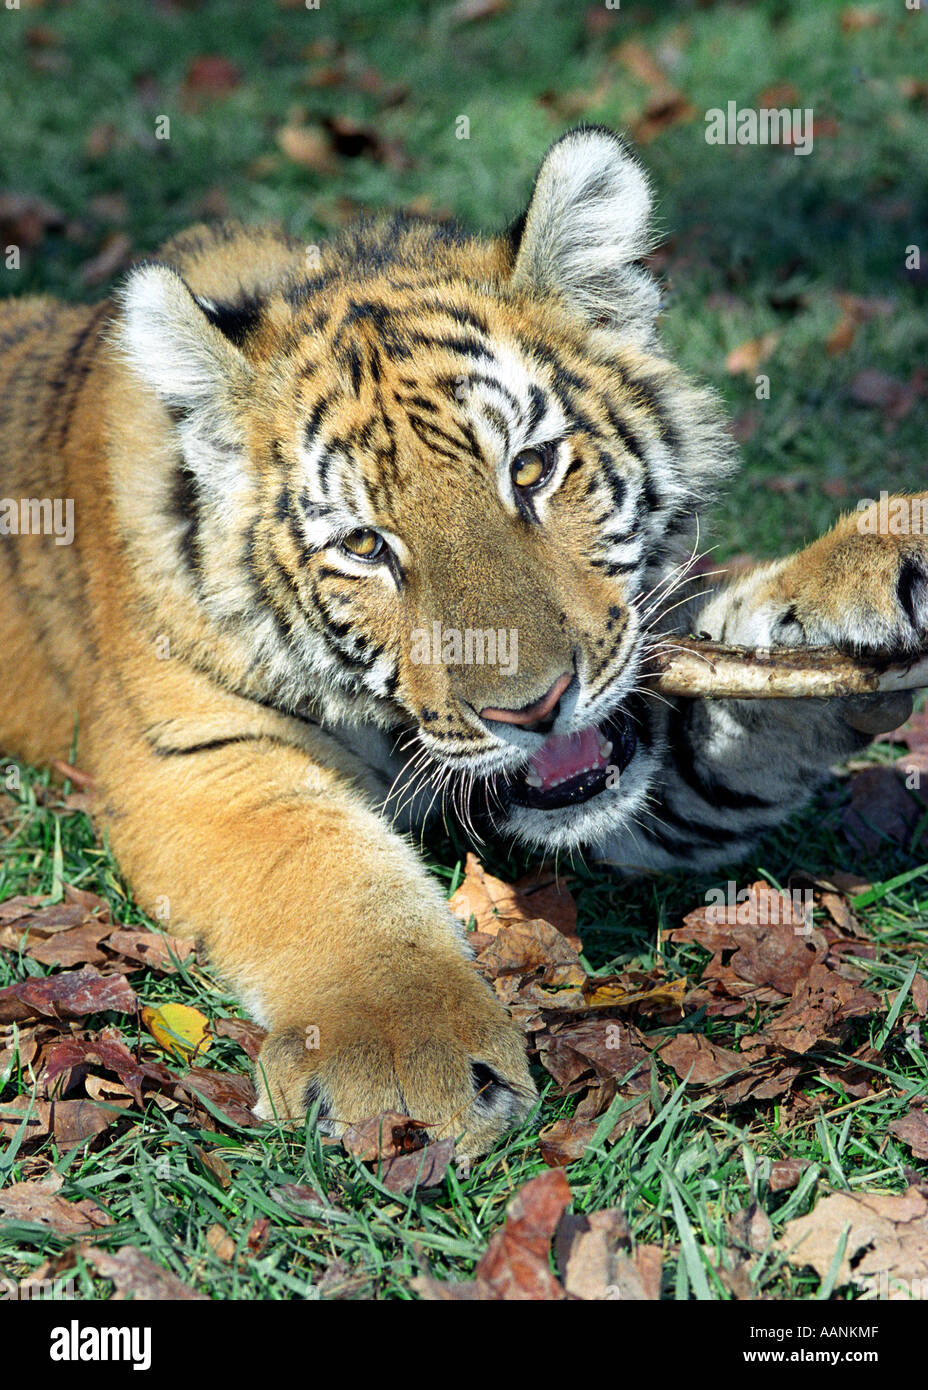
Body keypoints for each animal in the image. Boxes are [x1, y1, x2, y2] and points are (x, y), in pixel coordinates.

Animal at [1, 125, 925, 1157]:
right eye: (365, 545)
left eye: (530, 469)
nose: (535, 710)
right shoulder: (202, 757)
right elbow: (327, 880)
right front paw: (404, 1059)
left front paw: (882, 559)